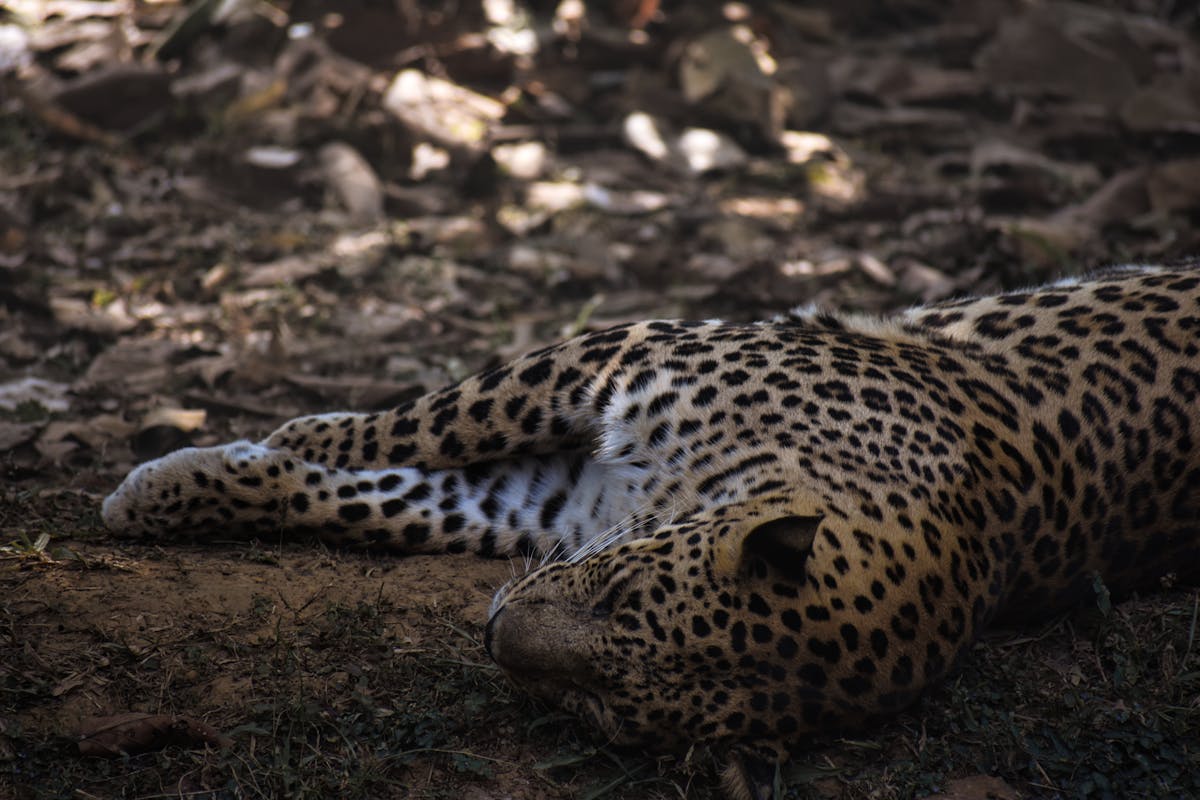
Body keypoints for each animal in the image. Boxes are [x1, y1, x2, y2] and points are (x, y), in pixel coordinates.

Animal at [103, 263, 1200, 799]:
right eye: (618, 597)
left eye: (607, 713)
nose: (493, 639)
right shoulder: (607, 354)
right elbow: (411, 429)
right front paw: (186, 479)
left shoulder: (547, 498)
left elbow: (384, 495)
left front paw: (186, 481)